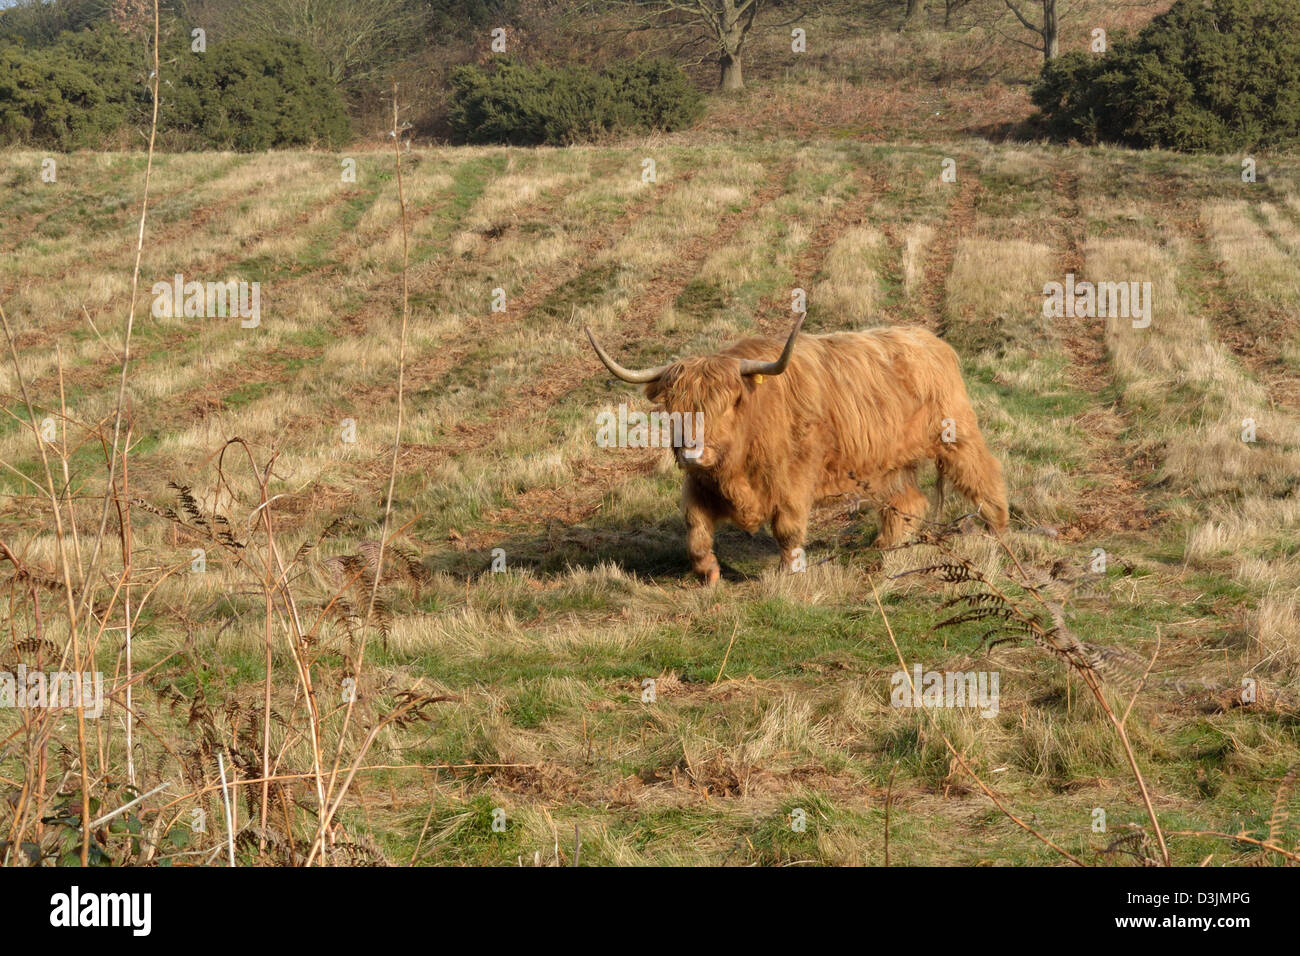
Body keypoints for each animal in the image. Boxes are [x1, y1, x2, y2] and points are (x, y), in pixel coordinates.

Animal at [586, 316, 1009, 584]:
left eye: (728, 404)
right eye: (673, 407)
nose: (693, 453)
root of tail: (928, 340)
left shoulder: (793, 478)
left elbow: (787, 527)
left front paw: (791, 571)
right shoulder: (701, 484)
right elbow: (696, 528)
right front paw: (708, 572)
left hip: (956, 436)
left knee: (984, 476)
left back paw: (998, 532)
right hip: (886, 462)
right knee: (907, 501)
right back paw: (886, 545)